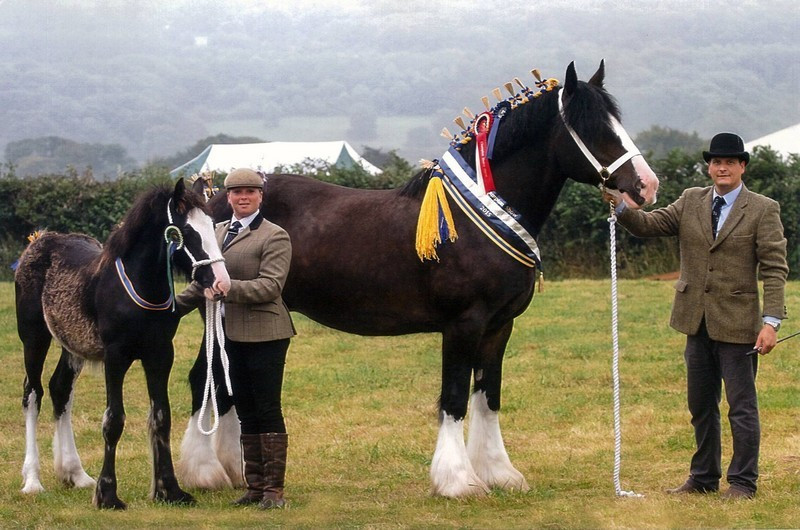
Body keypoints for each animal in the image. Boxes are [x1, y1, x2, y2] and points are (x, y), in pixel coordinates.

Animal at [14, 178, 231, 509]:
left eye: (212, 225)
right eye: (187, 232)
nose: (221, 282)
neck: (140, 288)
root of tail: (39, 240)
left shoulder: (160, 355)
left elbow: (162, 417)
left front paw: (169, 490)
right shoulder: (115, 357)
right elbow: (113, 420)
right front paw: (108, 495)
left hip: (72, 345)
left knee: (60, 389)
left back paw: (75, 474)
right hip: (33, 338)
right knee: (32, 393)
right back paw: (33, 481)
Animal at [177, 61, 660, 497]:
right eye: (595, 130)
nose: (646, 186)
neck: (479, 220)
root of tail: (211, 202)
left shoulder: (500, 326)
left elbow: (488, 397)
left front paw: (499, 473)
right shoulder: (463, 324)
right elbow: (454, 398)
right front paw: (459, 481)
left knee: (227, 385)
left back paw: (233, 471)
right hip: (219, 314)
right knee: (207, 380)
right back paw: (206, 474)